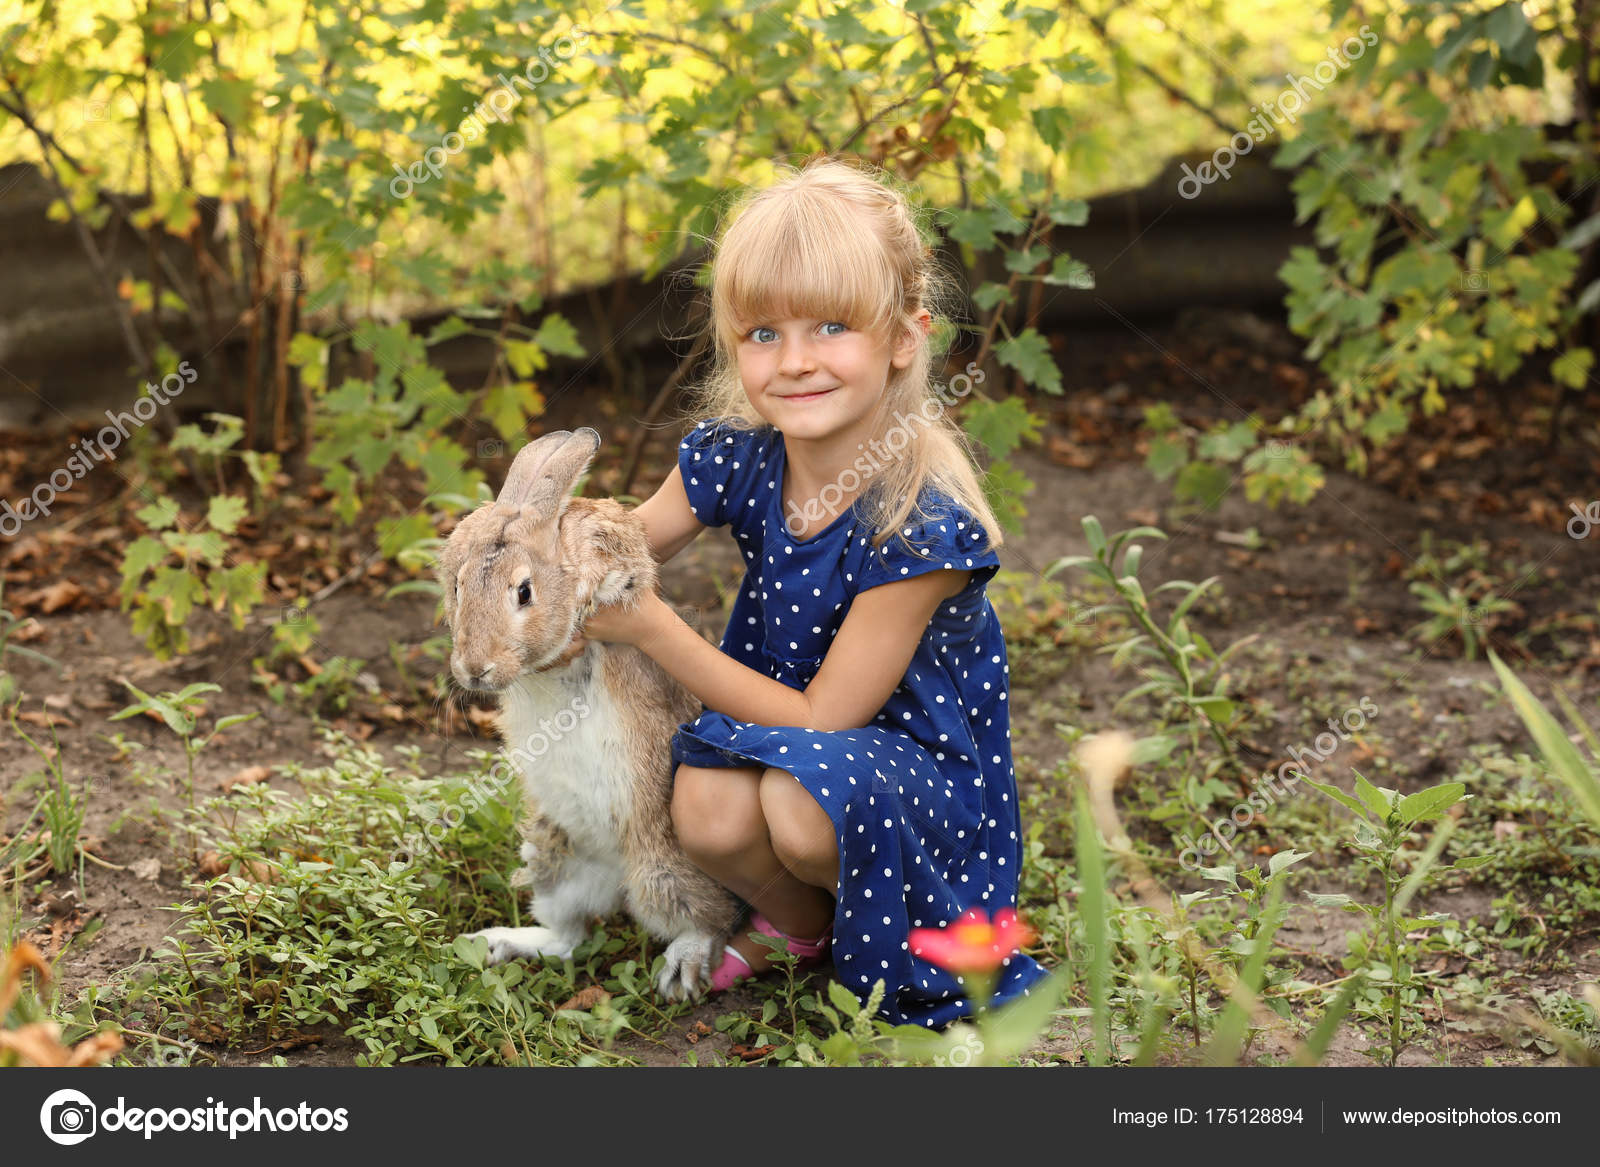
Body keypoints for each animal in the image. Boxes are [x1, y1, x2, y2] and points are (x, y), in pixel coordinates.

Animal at [436, 426, 742, 1000]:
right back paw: (497, 942)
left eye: (524, 592)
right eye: (459, 587)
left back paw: (682, 970)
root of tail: (615, 870)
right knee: (568, 936)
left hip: (662, 870)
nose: (475, 669)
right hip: (556, 859)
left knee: (709, 921)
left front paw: (588, 592)